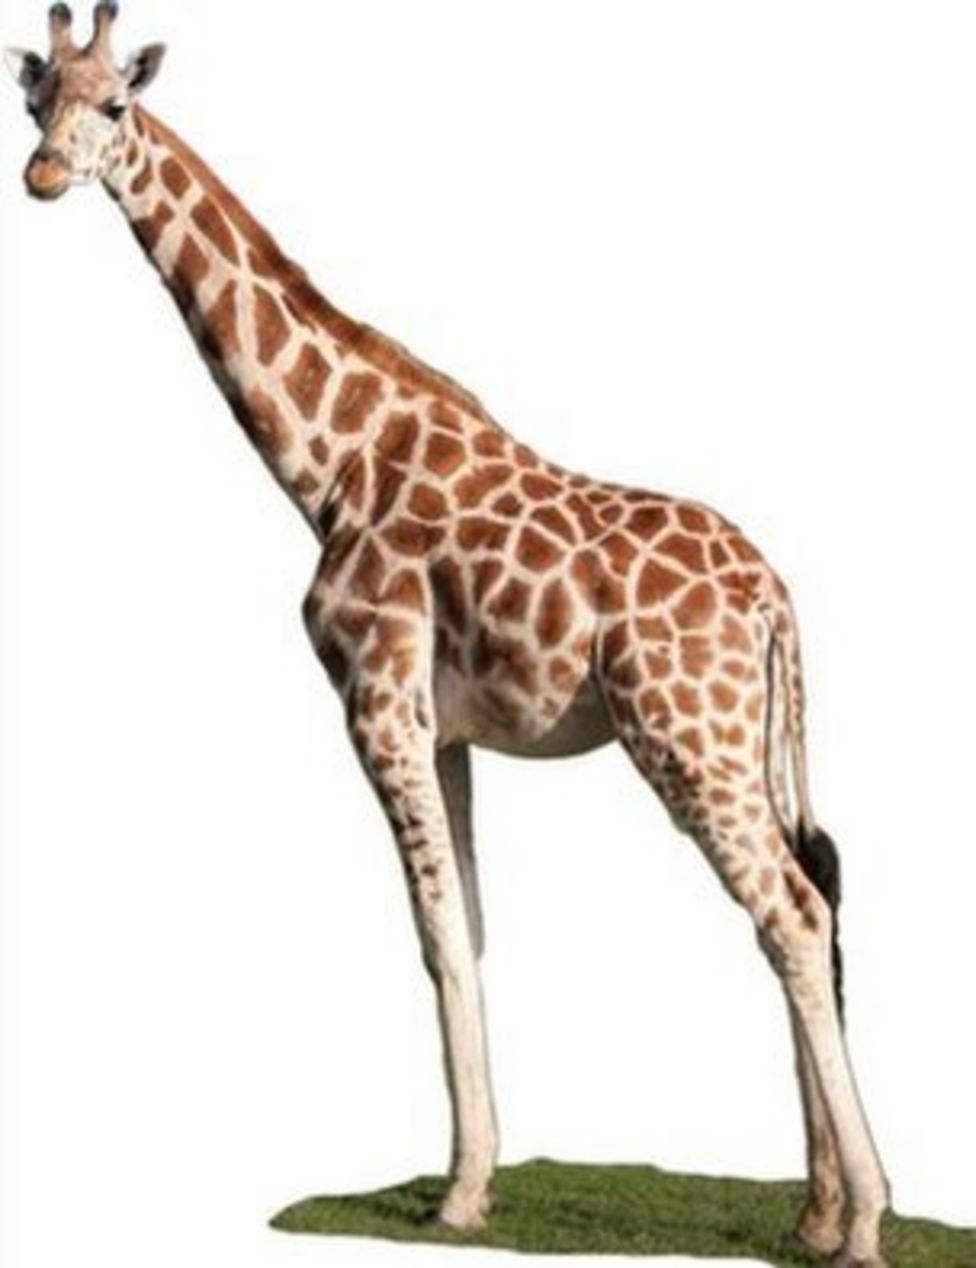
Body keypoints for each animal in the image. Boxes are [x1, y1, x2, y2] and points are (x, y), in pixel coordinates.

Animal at [5, 7, 890, 1265]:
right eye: (36, 104)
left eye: (116, 107)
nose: (42, 176)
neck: (330, 464)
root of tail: (776, 597)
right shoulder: (450, 727)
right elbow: (467, 929)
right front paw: (475, 1171)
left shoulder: (376, 697)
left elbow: (430, 935)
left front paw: (461, 1192)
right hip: (747, 741)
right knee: (810, 899)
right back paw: (813, 1209)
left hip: (686, 737)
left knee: (792, 910)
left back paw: (862, 1218)